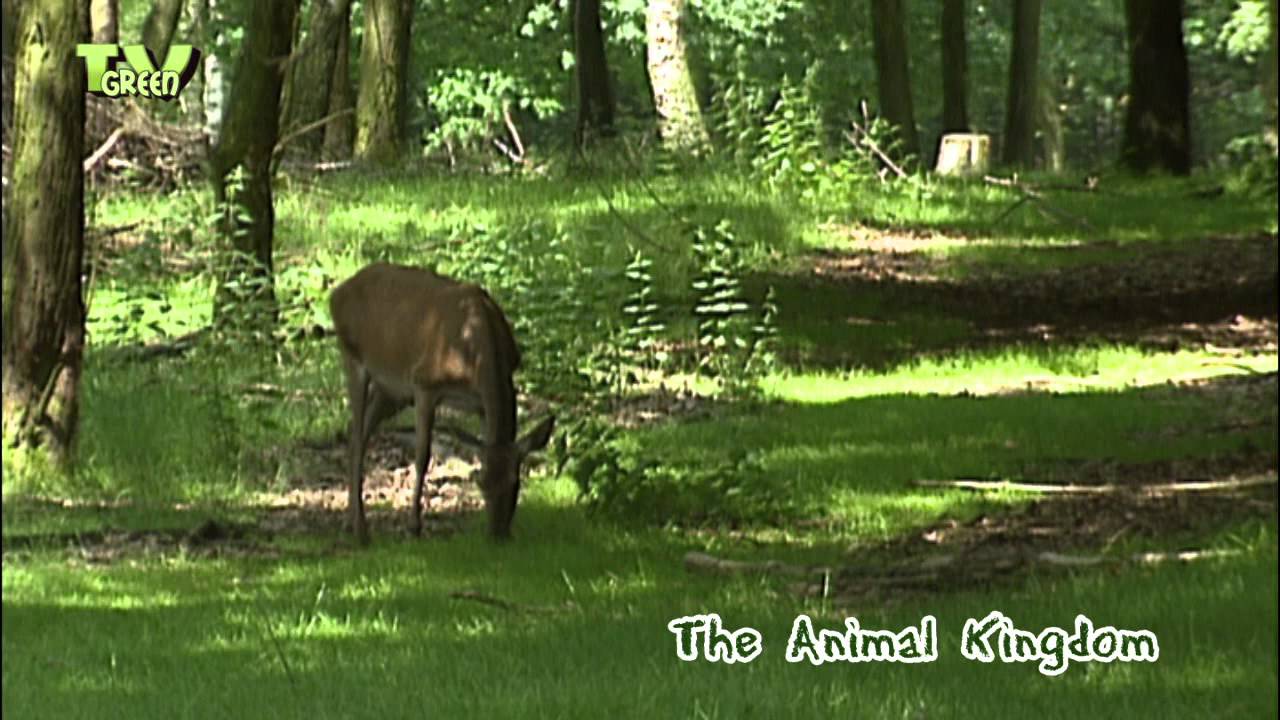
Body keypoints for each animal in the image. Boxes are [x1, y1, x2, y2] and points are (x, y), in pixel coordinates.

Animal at [328, 262, 555, 543]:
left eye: (515, 482)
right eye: (481, 483)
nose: (497, 534)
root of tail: (336, 293)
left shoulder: (482, 402)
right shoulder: (425, 384)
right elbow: (422, 455)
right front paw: (414, 526)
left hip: (391, 389)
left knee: (355, 431)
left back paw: (351, 522)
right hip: (353, 356)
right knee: (358, 434)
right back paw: (361, 529)